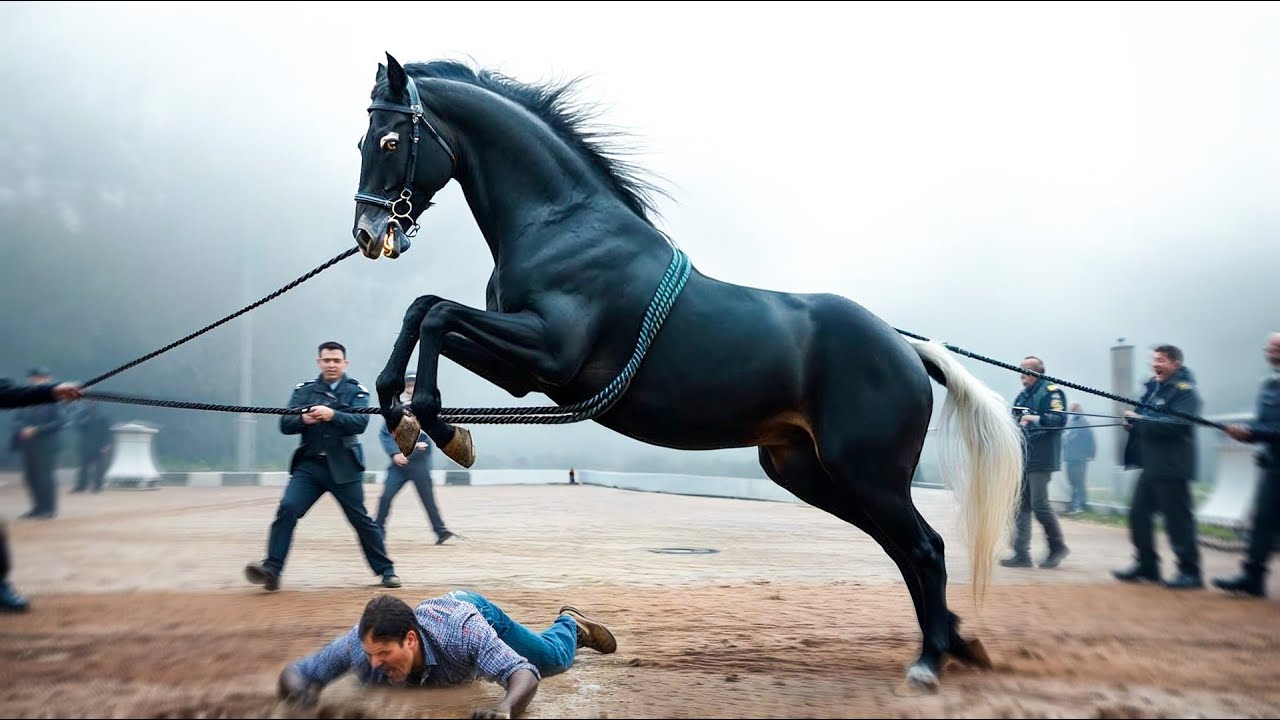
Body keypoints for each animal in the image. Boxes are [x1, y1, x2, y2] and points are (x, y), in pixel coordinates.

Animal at [350, 53, 1024, 691]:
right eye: (363, 141)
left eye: (390, 141)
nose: (369, 232)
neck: (564, 226)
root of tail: (908, 349)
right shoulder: (525, 371)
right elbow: (424, 310)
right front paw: (403, 412)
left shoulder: (550, 354)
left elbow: (436, 315)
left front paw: (436, 425)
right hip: (809, 472)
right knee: (904, 549)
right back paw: (956, 644)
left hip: (866, 473)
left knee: (925, 548)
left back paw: (931, 660)